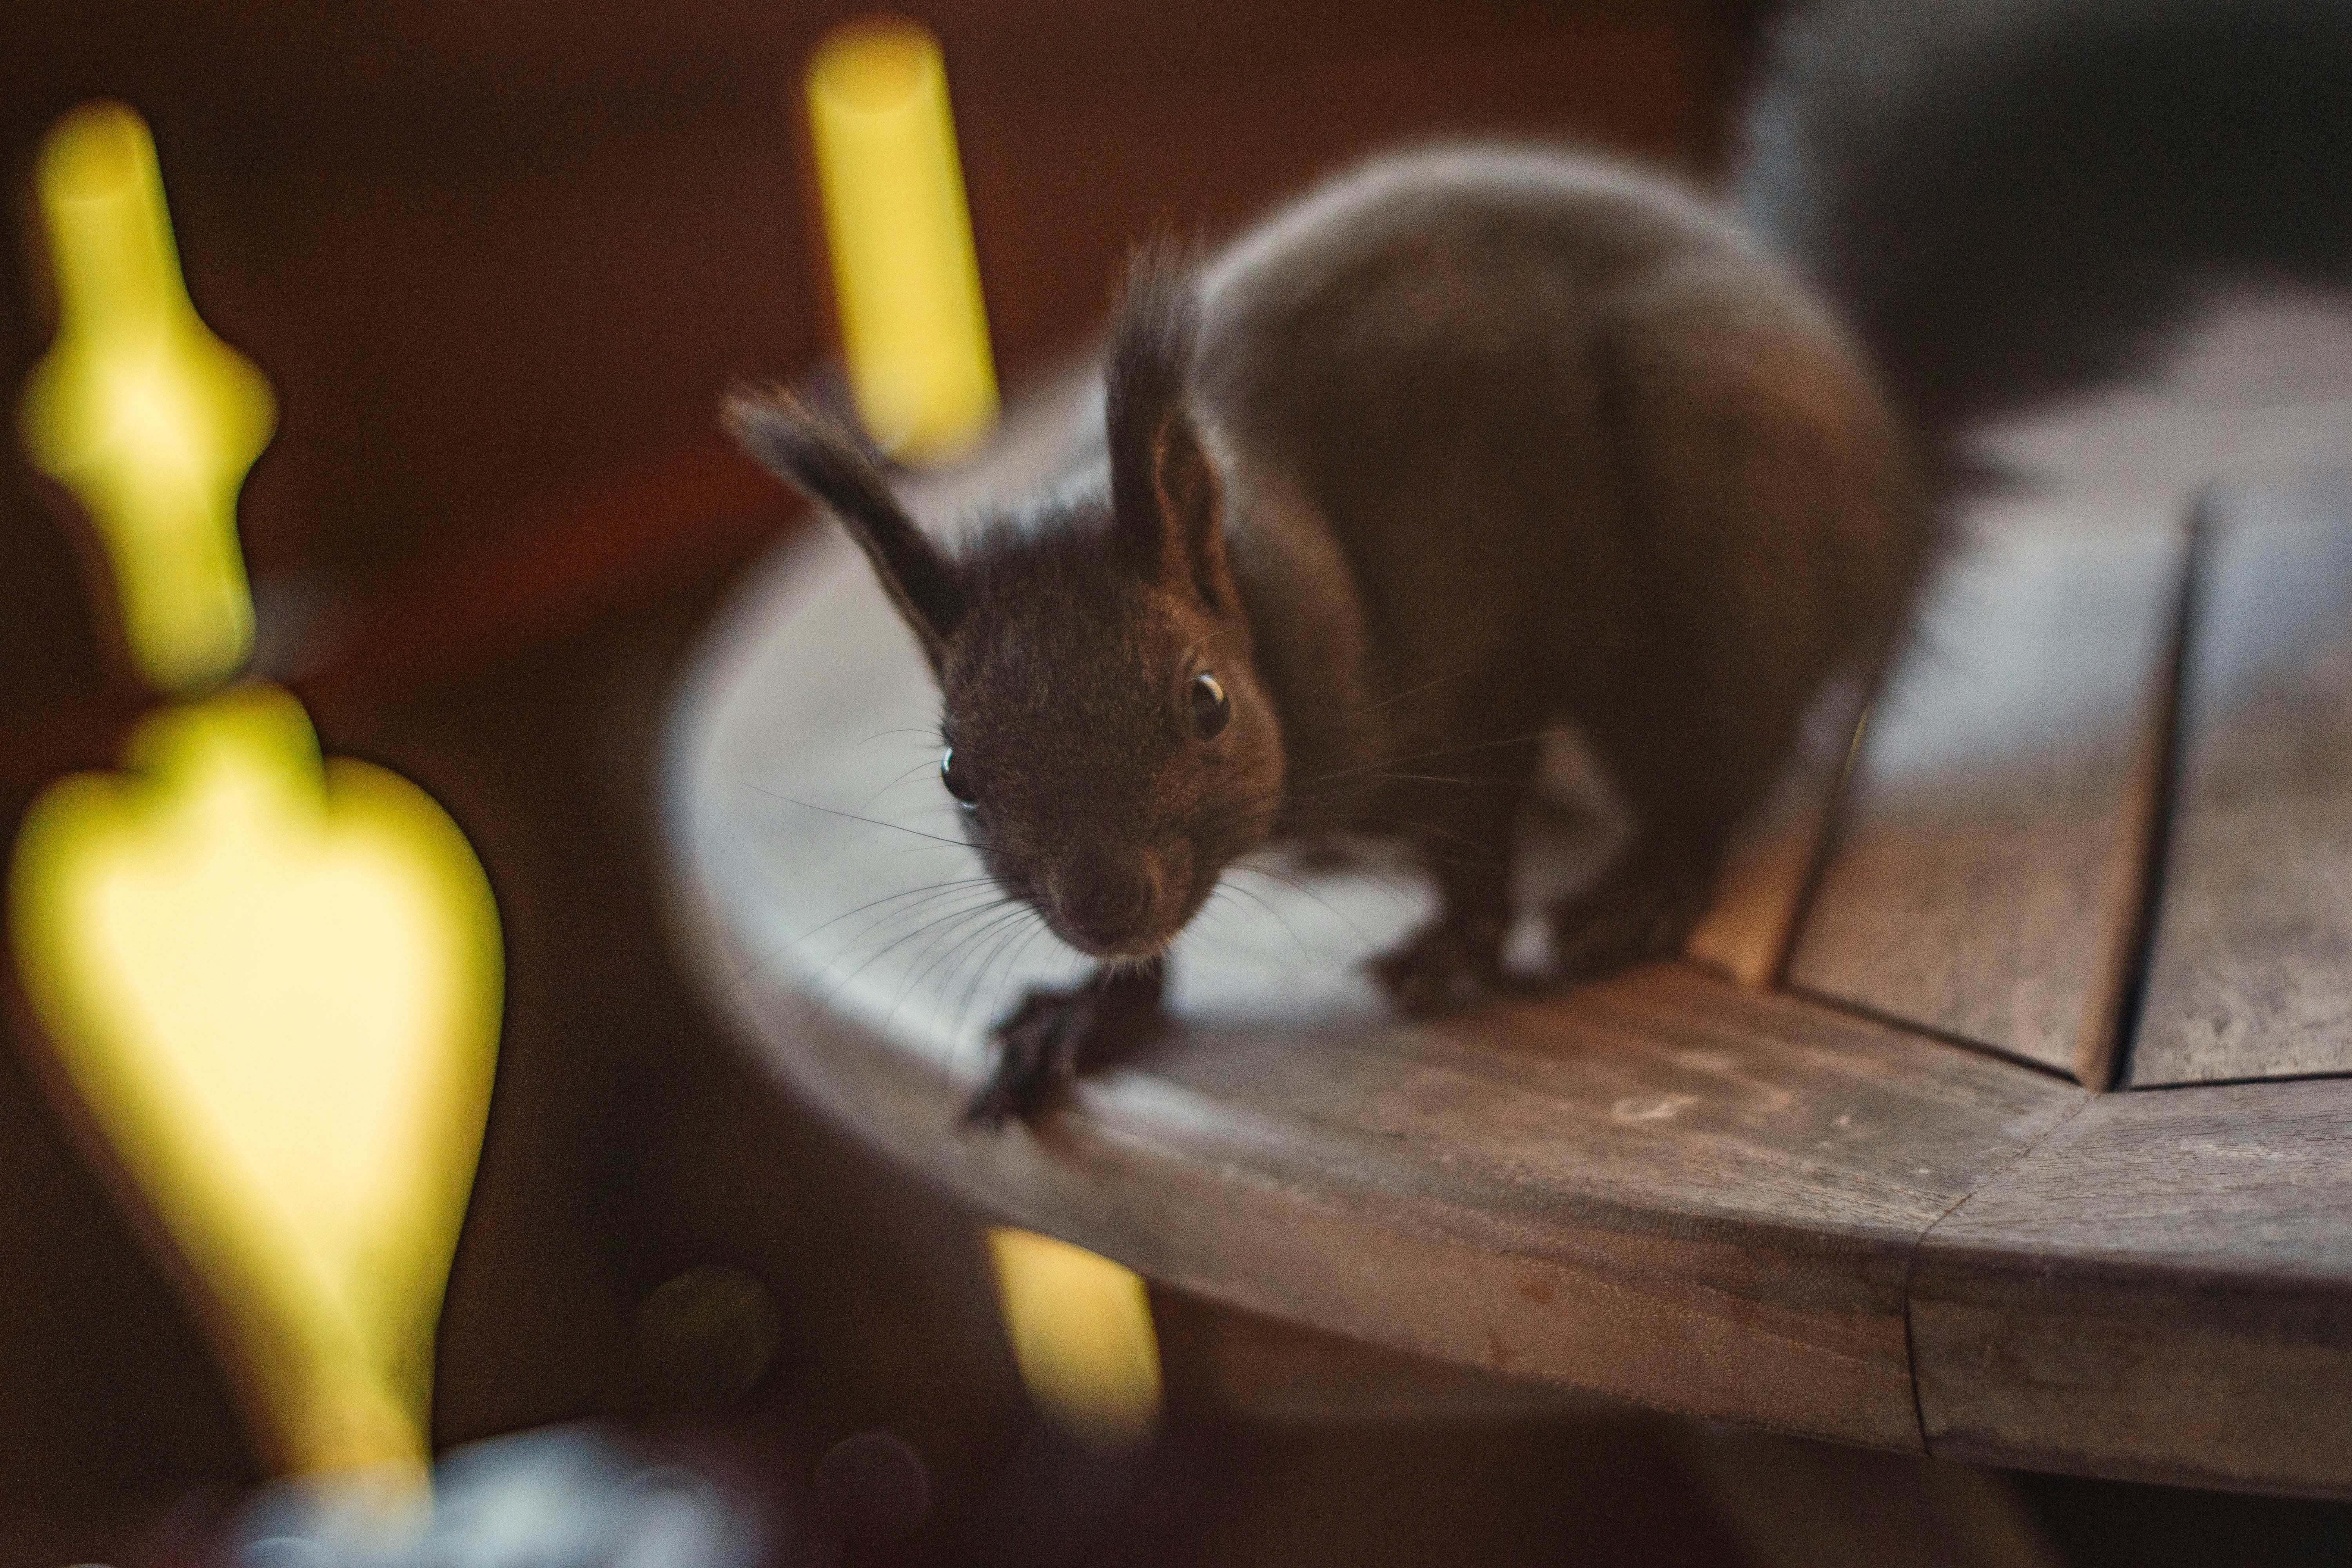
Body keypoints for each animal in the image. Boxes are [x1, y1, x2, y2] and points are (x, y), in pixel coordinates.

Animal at [728, 144, 1923, 1124]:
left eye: (1206, 702)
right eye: (955, 773)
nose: (1105, 905)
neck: (1253, 581)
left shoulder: (1474, 675)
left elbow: (1472, 838)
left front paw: (1455, 943)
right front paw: (1093, 1007)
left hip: (1727, 554)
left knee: (1710, 772)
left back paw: (1643, 889)